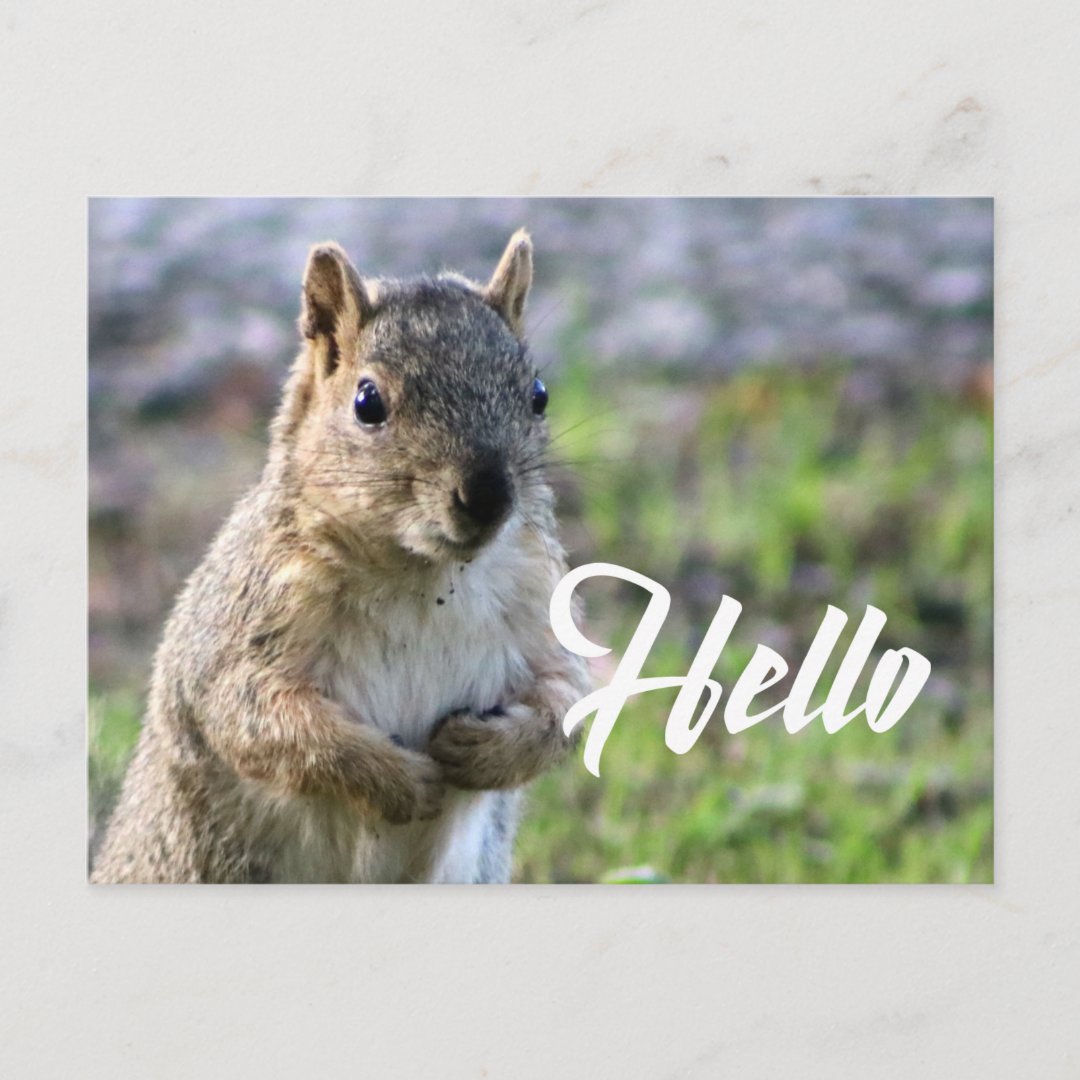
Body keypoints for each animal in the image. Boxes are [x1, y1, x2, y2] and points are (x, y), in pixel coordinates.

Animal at [91, 230, 590, 884]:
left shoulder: (541, 605)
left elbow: (570, 701)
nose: (487, 496)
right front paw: (398, 780)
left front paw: (481, 751)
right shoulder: (249, 623)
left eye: (538, 396)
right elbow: (257, 720)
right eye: (367, 402)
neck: (426, 577)